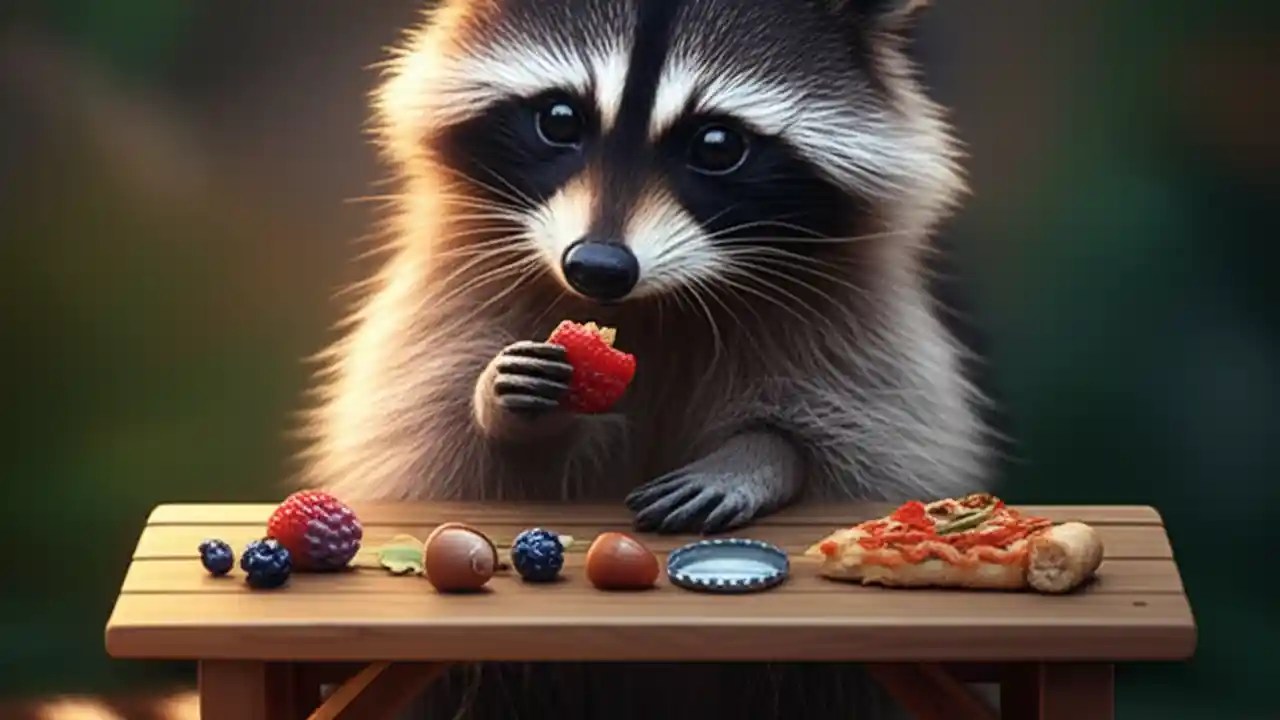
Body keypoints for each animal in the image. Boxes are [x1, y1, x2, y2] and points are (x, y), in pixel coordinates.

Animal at [299, 0, 994, 716]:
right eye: (559, 119)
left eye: (717, 145)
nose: (598, 266)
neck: (654, 303)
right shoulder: (439, 316)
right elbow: (432, 444)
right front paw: (508, 405)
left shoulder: (861, 332)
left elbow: (874, 445)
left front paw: (761, 456)